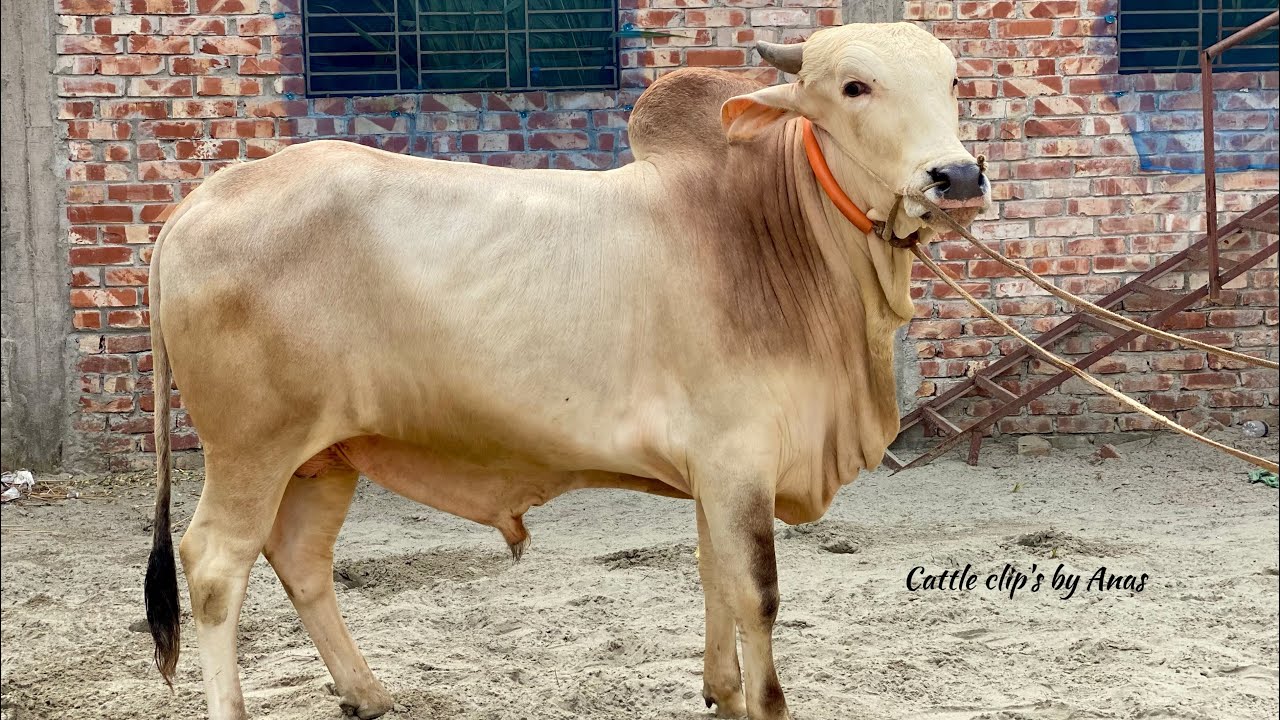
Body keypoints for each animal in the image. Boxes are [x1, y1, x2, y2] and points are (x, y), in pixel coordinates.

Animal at [144, 22, 989, 720]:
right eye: (853, 86)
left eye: (951, 80)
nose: (956, 176)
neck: (770, 230)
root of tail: (202, 200)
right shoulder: (738, 459)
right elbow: (757, 594)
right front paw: (762, 704)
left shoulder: (715, 475)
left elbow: (712, 573)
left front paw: (720, 691)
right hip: (252, 449)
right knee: (215, 567)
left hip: (324, 456)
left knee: (301, 560)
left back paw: (369, 692)